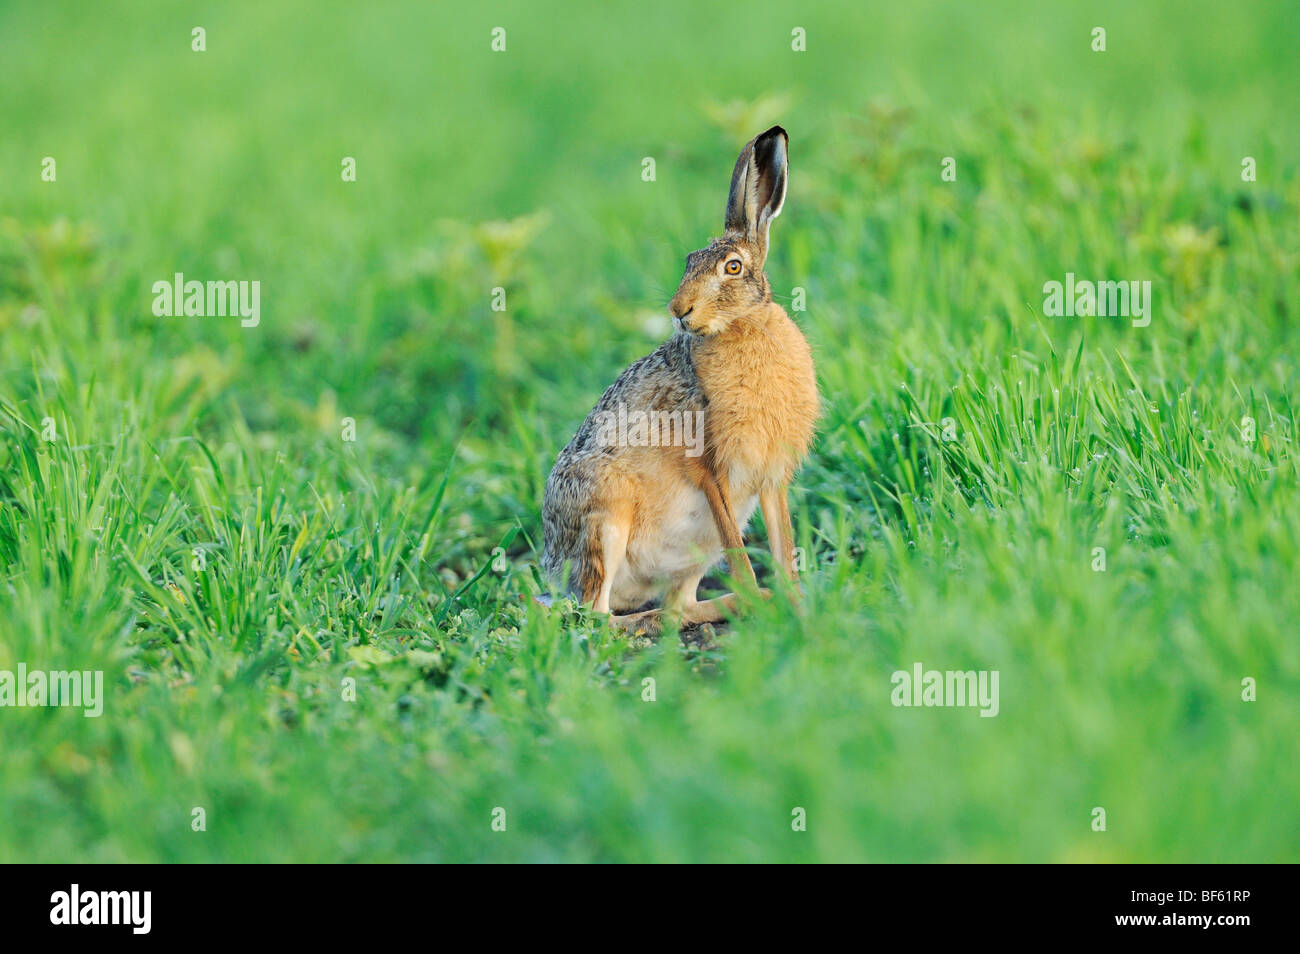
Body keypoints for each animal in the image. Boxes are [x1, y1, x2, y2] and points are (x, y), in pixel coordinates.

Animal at [542, 125, 818, 632]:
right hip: (604, 513)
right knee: (595, 615)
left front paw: (794, 601)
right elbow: (742, 557)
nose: (678, 310)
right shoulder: (709, 468)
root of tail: (553, 569)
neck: (741, 327)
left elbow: (782, 545)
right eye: (689, 262)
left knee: (679, 605)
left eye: (733, 267)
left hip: (695, 550)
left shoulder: (771, 478)